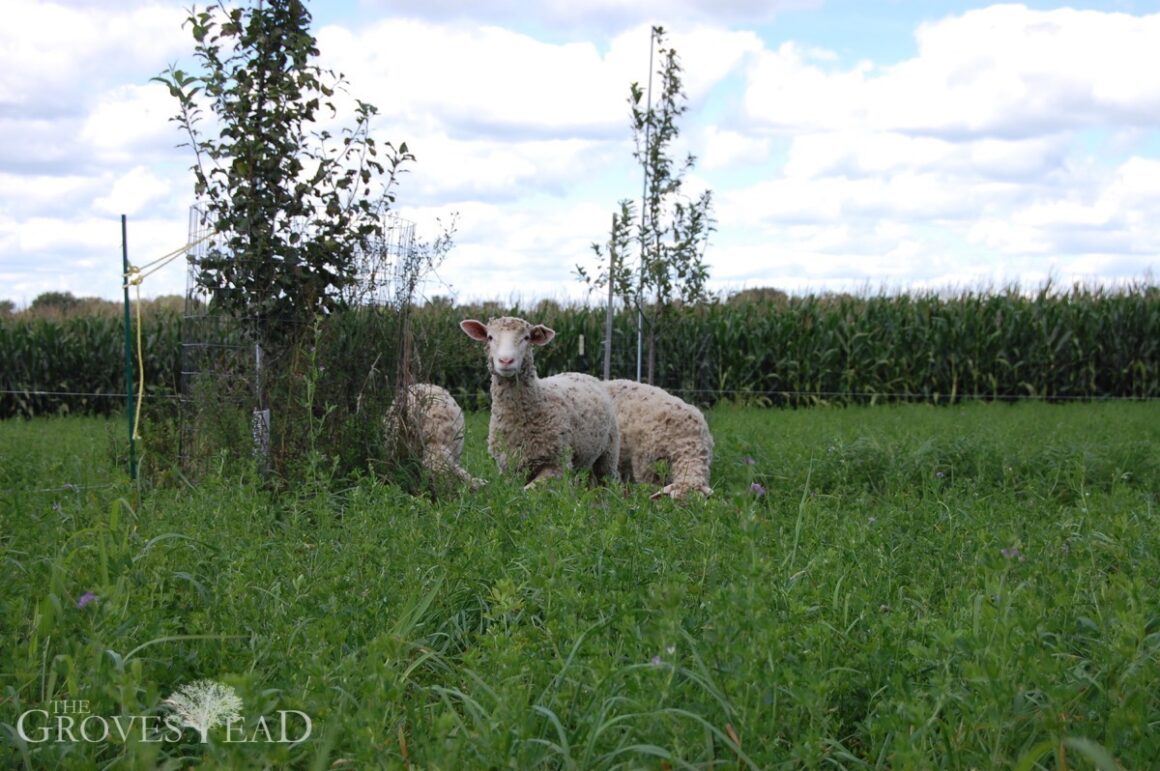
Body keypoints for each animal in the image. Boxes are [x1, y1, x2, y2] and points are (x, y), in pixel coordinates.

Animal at [459, 316, 620, 488]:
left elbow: (528, 490)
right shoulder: (509, 469)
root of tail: (581, 374)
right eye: (490, 337)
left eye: (526, 337)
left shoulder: (557, 465)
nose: (506, 360)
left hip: (609, 454)